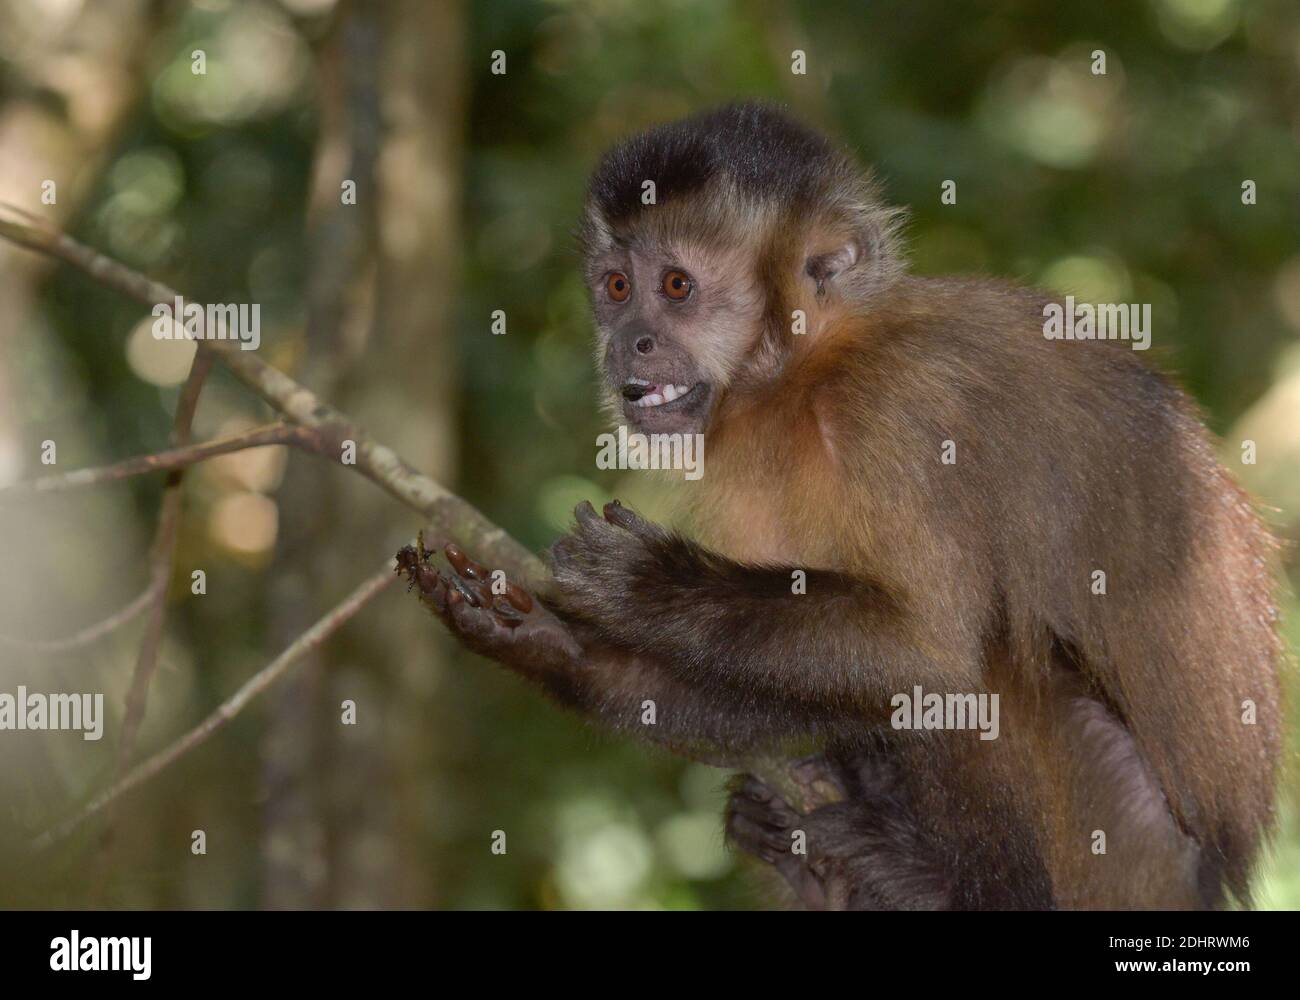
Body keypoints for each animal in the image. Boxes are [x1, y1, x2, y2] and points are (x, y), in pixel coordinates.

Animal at [398, 101, 1283, 910]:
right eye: (616, 288)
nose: (627, 341)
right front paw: (545, 643)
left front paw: (652, 586)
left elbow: (927, 653)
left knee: (983, 666)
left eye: (676, 287)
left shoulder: (902, 407)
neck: (811, 370)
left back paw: (944, 887)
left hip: (1118, 848)